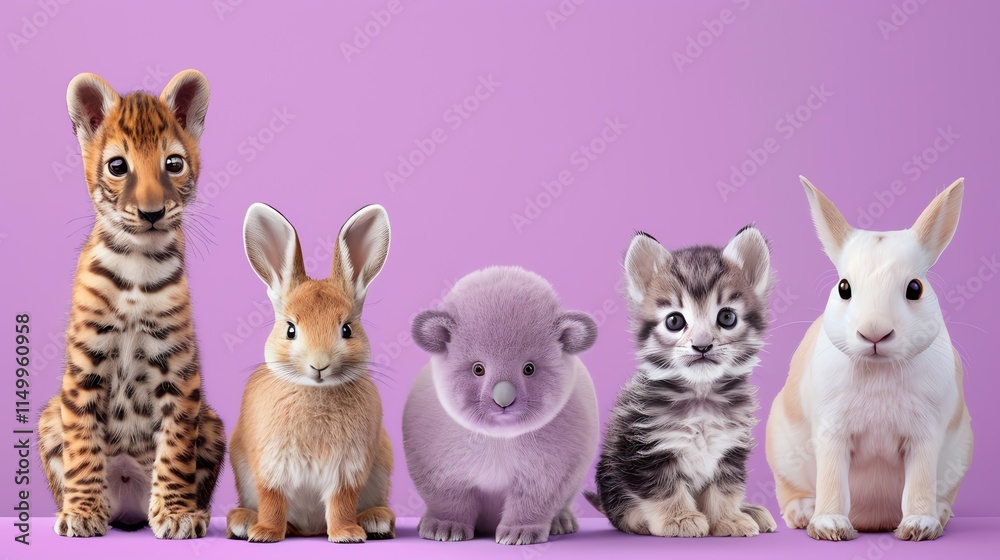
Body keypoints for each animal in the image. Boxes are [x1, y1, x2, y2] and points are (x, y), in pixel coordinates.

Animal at [37, 70, 225, 539]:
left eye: (173, 164)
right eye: (118, 167)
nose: (152, 213)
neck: (138, 260)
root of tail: (127, 510)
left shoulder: (177, 369)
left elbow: (175, 448)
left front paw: (175, 512)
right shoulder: (85, 364)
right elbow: (82, 445)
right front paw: (83, 510)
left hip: (213, 422)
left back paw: (195, 511)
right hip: (49, 415)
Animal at [226, 202, 396, 543]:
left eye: (347, 329)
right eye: (290, 329)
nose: (319, 364)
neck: (316, 392)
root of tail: (309, 529)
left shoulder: (347, 470)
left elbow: (341, 502)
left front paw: (346, 535)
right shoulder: (270, 467)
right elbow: (272, 500)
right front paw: (265, 534)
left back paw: (375, 521)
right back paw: (245, 522)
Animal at [403, 266, 600, 545]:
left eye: (529, 369)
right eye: (478, 369)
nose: (503, 400)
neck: (498, 438)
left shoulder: (548, 472)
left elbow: (531, 503)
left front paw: (521, 531)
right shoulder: (440, 470)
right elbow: (450, 502)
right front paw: (446, 526)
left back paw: (561, 521)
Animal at [765, 177, 973, 542]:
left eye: (915, 288)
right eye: (844, 287)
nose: (874, 333)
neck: (880, 370)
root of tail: (873, 521)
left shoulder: (925, 437)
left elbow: (919, 482)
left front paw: (919, 526)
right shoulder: (831, 434)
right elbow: (832, 480)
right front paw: (830, 526)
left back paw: (940, 513)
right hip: (780, 449)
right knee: (791, 490)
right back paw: (804, 513)